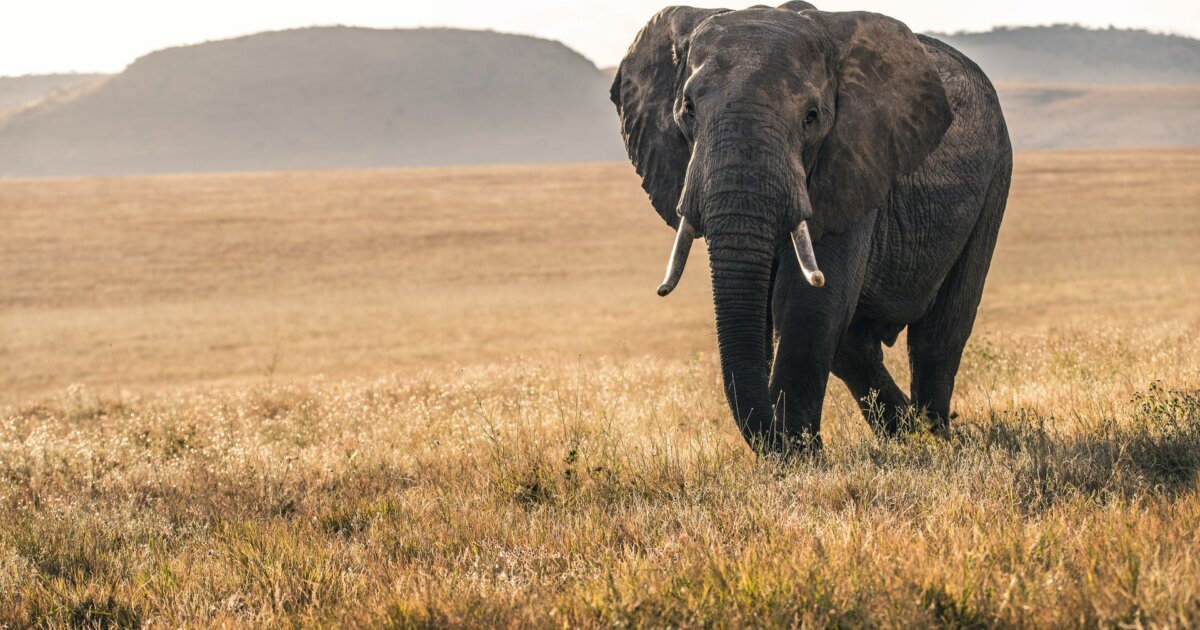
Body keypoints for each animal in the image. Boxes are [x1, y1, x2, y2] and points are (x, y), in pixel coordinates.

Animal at [610, 2, 1012, 453]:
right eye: (688, 110)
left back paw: (934, 437)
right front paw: (796, 450)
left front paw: (800, 455)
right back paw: (905, 434)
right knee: (855, 346)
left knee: (939, 333)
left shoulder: (853, 159)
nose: (778, 439)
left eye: (811, 117)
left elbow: (808, 303)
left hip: (996, 174)